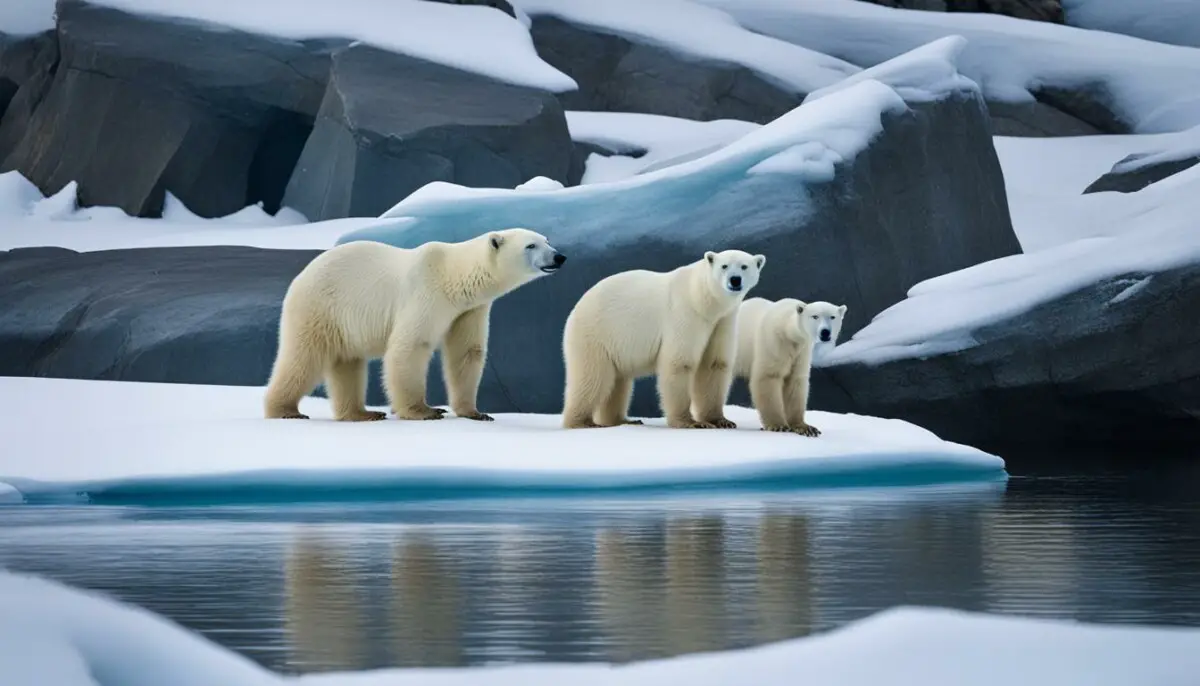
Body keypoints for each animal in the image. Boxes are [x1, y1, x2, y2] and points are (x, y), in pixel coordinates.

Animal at [263, 228, 566, 422]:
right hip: (320, 307)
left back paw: (363, 413)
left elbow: (466, 352)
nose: (559, 256)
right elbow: (411, 345)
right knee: (304, 357)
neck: (453, 275)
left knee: (348, 363)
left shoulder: (470, 309)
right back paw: (286, 410)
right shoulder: (427, 292)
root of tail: (300, 276)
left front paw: (475, 412)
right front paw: (425, 411)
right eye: (530, 245)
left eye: (547, 240)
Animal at [561, 250, 765, 430]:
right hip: (596, 334)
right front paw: (691, 422)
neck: (702, 299)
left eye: (744, 266)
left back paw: (624, 420)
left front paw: (722, 421)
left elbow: (714, 364)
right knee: (593, 377)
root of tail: (576, 308)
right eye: (724, 266)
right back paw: (582, 422)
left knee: (618, 382)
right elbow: (680, 362)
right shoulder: (686, 313)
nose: (735, 279)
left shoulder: (723, 321)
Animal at [733, 298, 846, 437]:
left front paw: (805, 428)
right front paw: (778, 425)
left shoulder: (802, 351)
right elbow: (769, 377)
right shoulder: (774, 343)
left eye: (832, 317)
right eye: (815, 316)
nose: (825, 332)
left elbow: (795, 382)